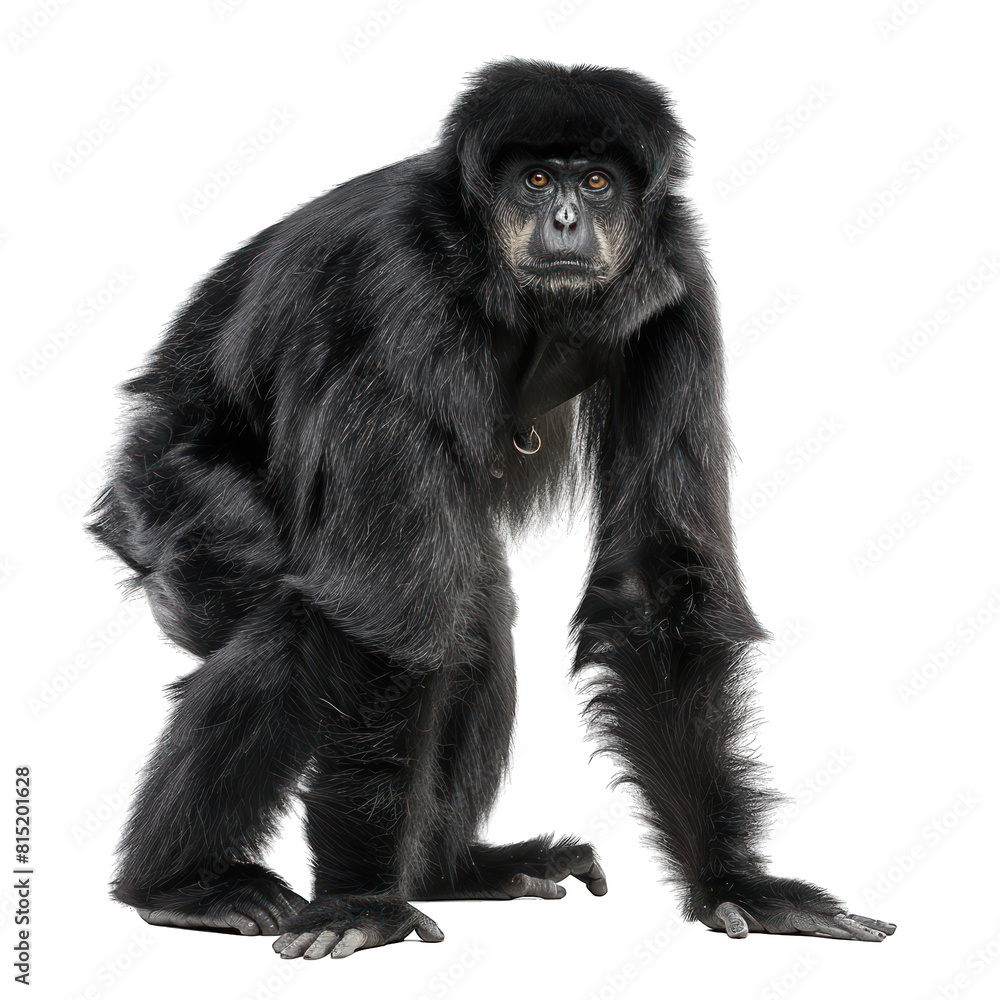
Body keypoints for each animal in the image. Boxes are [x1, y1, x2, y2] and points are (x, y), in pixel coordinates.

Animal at [87, 58, 895, 960]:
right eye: (535, 179)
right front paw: (362, 903)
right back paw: (181, 884)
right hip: (178, 504)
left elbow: (651, 586)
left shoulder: (678, 287)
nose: (567, 219)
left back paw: (449, 870)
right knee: (306, 624)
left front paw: (737, 884)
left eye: (599, 182)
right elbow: (388, 619)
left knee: (471, 613)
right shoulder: (399, 294)